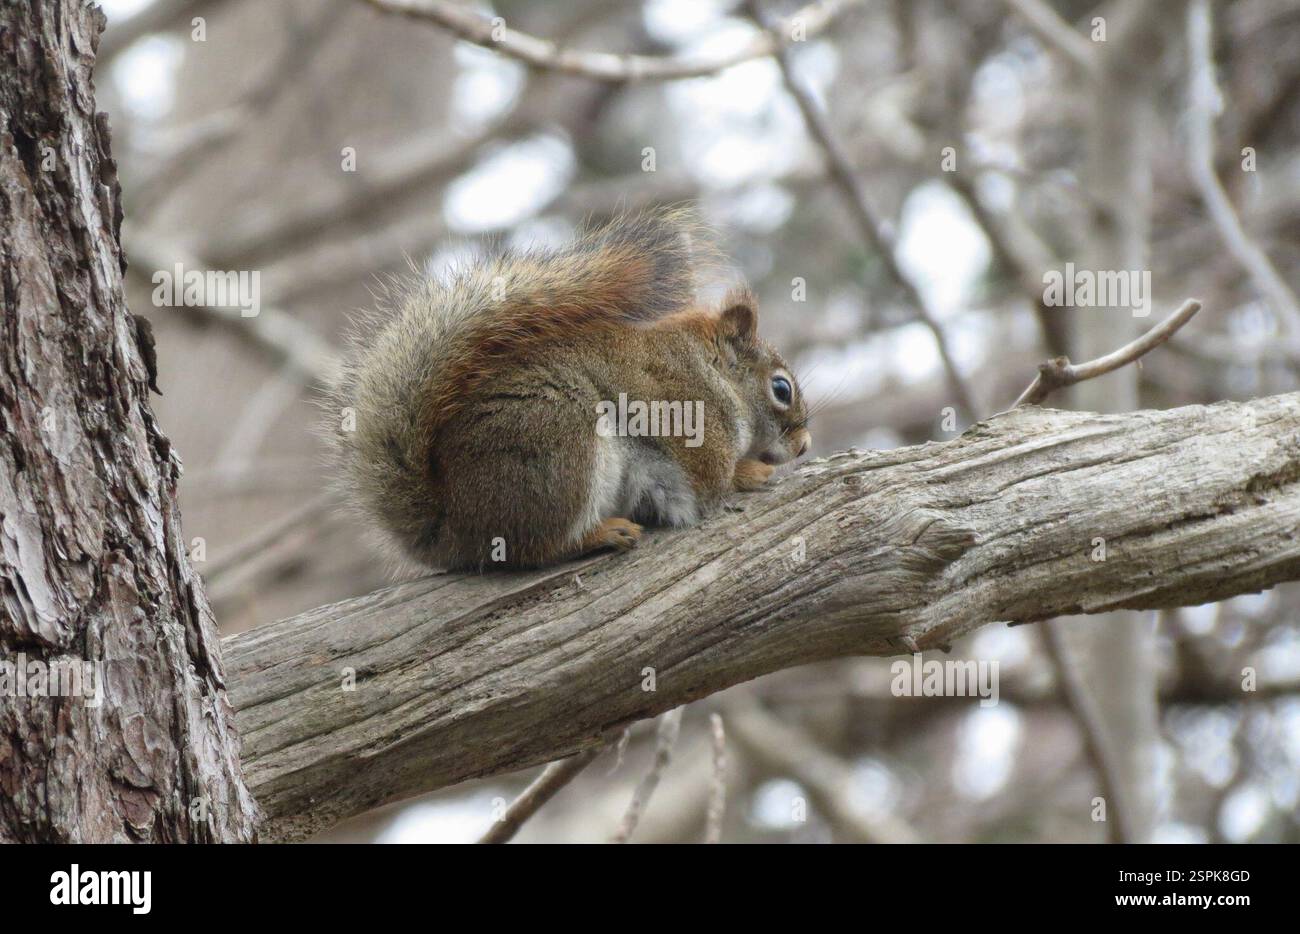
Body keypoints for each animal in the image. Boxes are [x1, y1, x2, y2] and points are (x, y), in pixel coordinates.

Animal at [329, 208, 811, 571]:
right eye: (781, 388)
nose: (805, 446)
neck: (711, 374)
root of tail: (450, 527)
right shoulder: (686, 417)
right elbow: (713, 482)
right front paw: (749, 472)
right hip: (561, 444)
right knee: (534, 548)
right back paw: (602, 533)